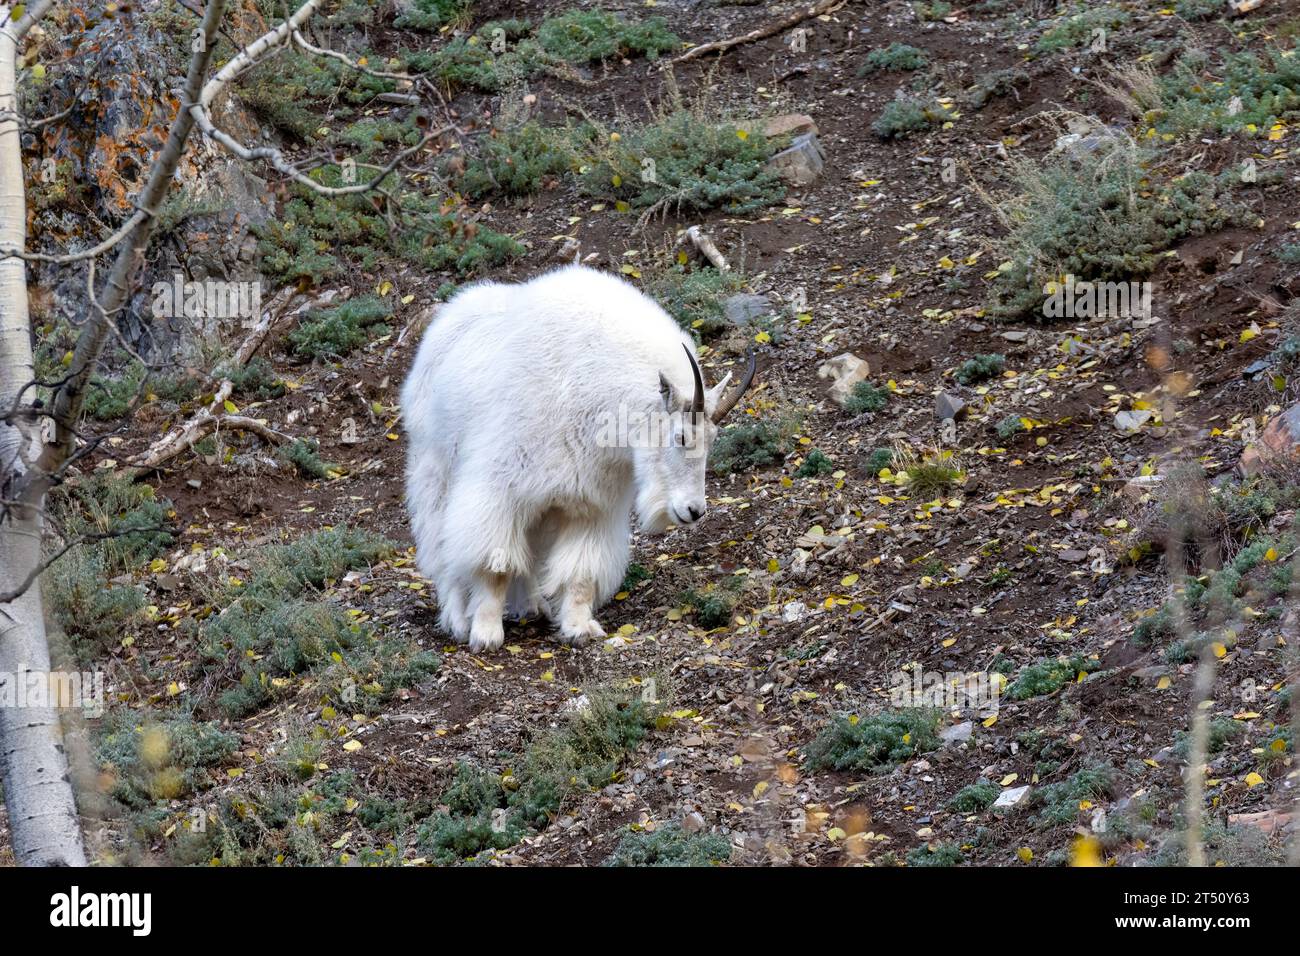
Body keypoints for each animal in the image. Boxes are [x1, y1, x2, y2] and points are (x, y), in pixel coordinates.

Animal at [401, 264, 756, 652]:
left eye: (713, 440)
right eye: (680, 437)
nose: (693, 511)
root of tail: (443, 322)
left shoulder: (590, 506)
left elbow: (582, 572)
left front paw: (579, 628)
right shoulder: (500, 490)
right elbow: (495, 566)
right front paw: (486, 634)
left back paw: (531, 606)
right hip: (434, 467)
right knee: (440, 546)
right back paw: (457, 619)